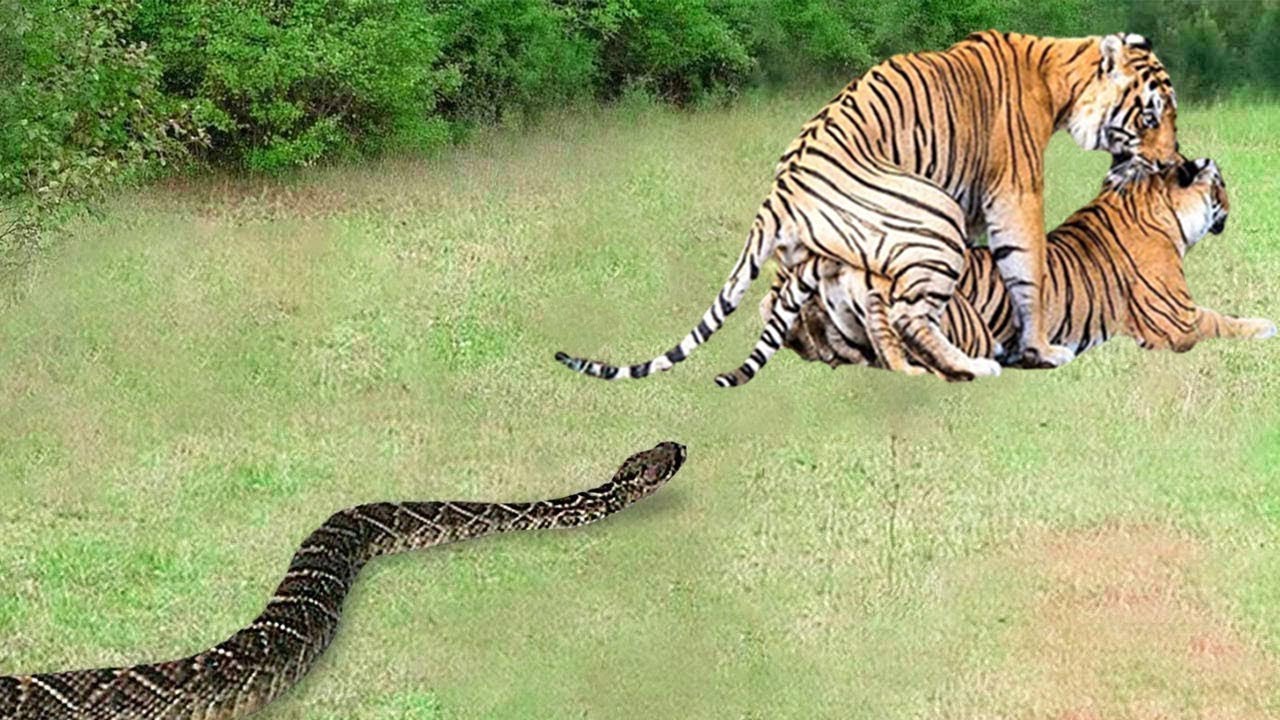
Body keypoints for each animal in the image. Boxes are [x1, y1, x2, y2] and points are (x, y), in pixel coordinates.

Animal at [555, 31, 1180, 386]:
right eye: (1150, 116)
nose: (1174, 161)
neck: (1060, 75)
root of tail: (781, 191)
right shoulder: (1014, 194)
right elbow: (1028, 270)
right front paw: (1043, 350)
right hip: (934, 214)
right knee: (906, 312)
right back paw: (966, 366)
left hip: (812, 256)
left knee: (779, 307)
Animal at [780, 156, 1275, 375]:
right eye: (1222, 184)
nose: (1233, 202)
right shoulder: (1178, 322)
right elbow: (1225, 321)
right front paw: (1268, 326)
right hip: (968, 328)